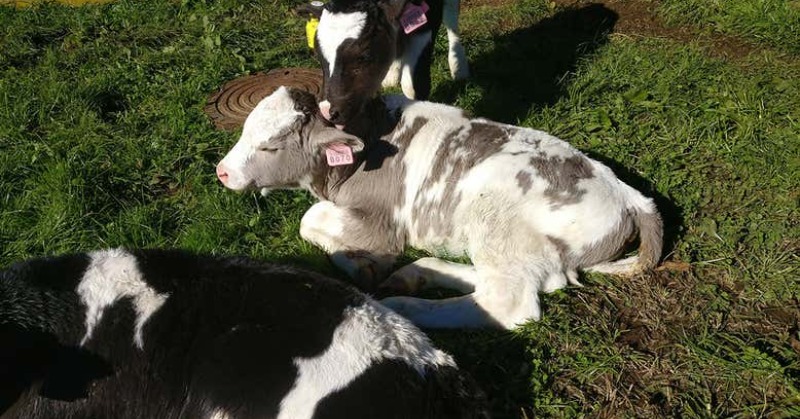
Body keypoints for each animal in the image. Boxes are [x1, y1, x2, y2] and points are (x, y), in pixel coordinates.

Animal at [215, 87, 663, 329]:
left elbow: (311, 221)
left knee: (511, 301)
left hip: (497, 216)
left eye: (270, 146)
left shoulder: (382, 221)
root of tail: (626, 193)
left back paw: (405, 306)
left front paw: (363, 264)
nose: (222, 172)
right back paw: (416, 274)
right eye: (245, 129)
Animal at [312, 0, 469, 128]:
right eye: (318, 54)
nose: (326, 112)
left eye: (364, 56)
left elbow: (412, 85)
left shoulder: (429, 18)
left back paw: (459, 66)